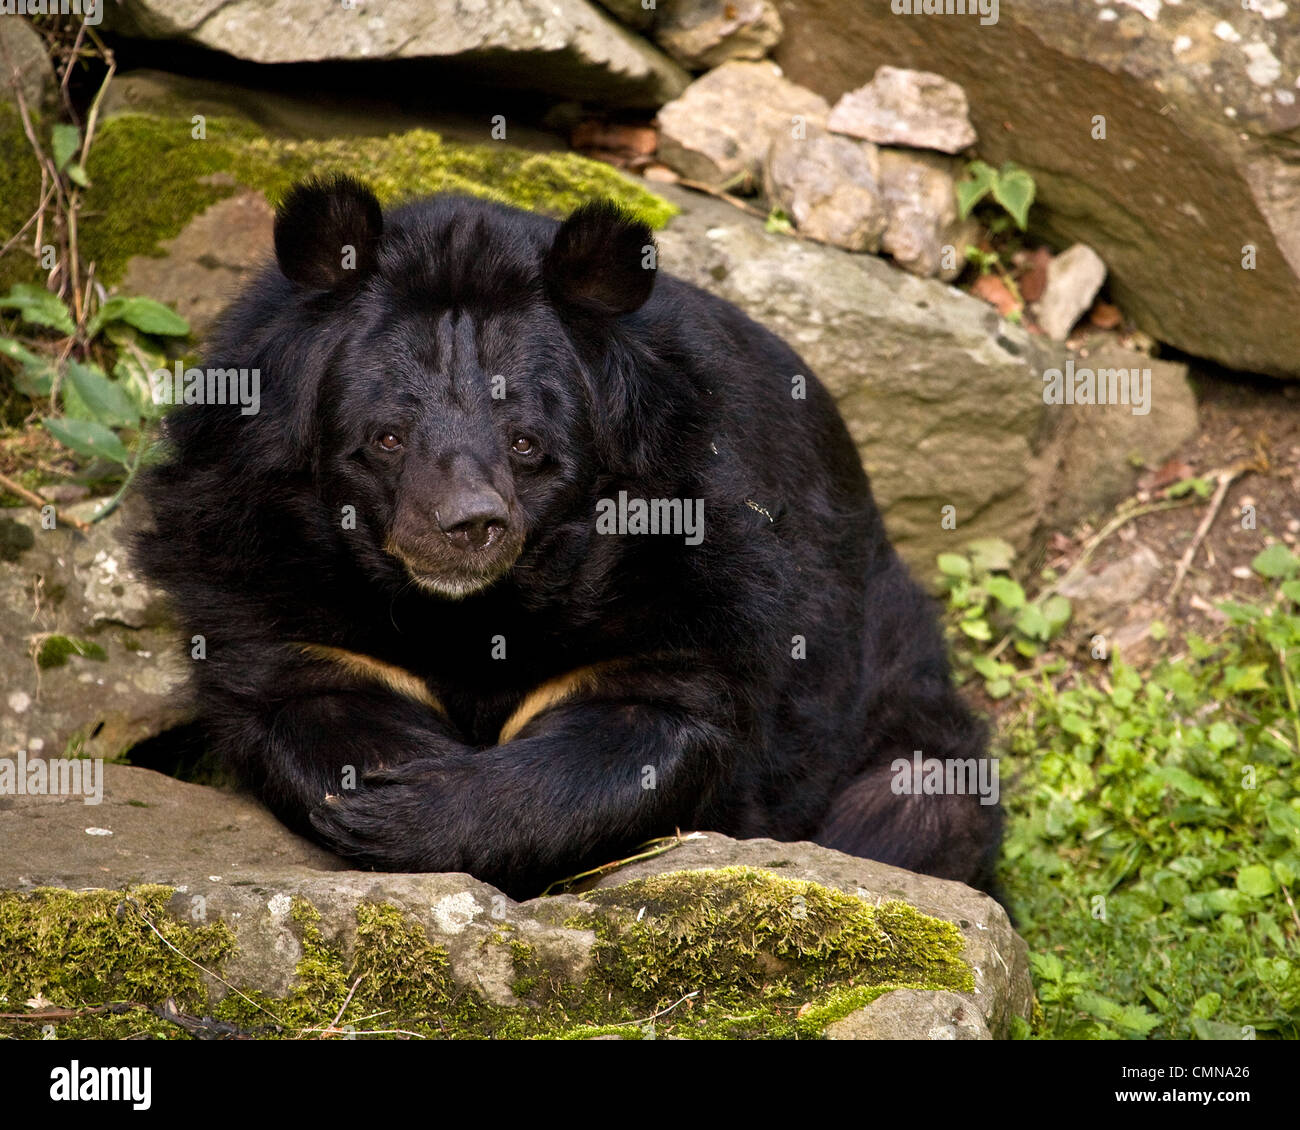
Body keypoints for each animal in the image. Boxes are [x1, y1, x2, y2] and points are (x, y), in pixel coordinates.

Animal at [133, 175, 1002, 902]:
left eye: (526, 444)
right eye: (386, 438)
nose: (469, 526)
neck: (471, 608)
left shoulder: (696, 572)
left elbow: (649, 728)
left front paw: (412, 811)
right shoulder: (255, 561)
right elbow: (307, 695)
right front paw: (379, 785)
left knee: (920, 805)